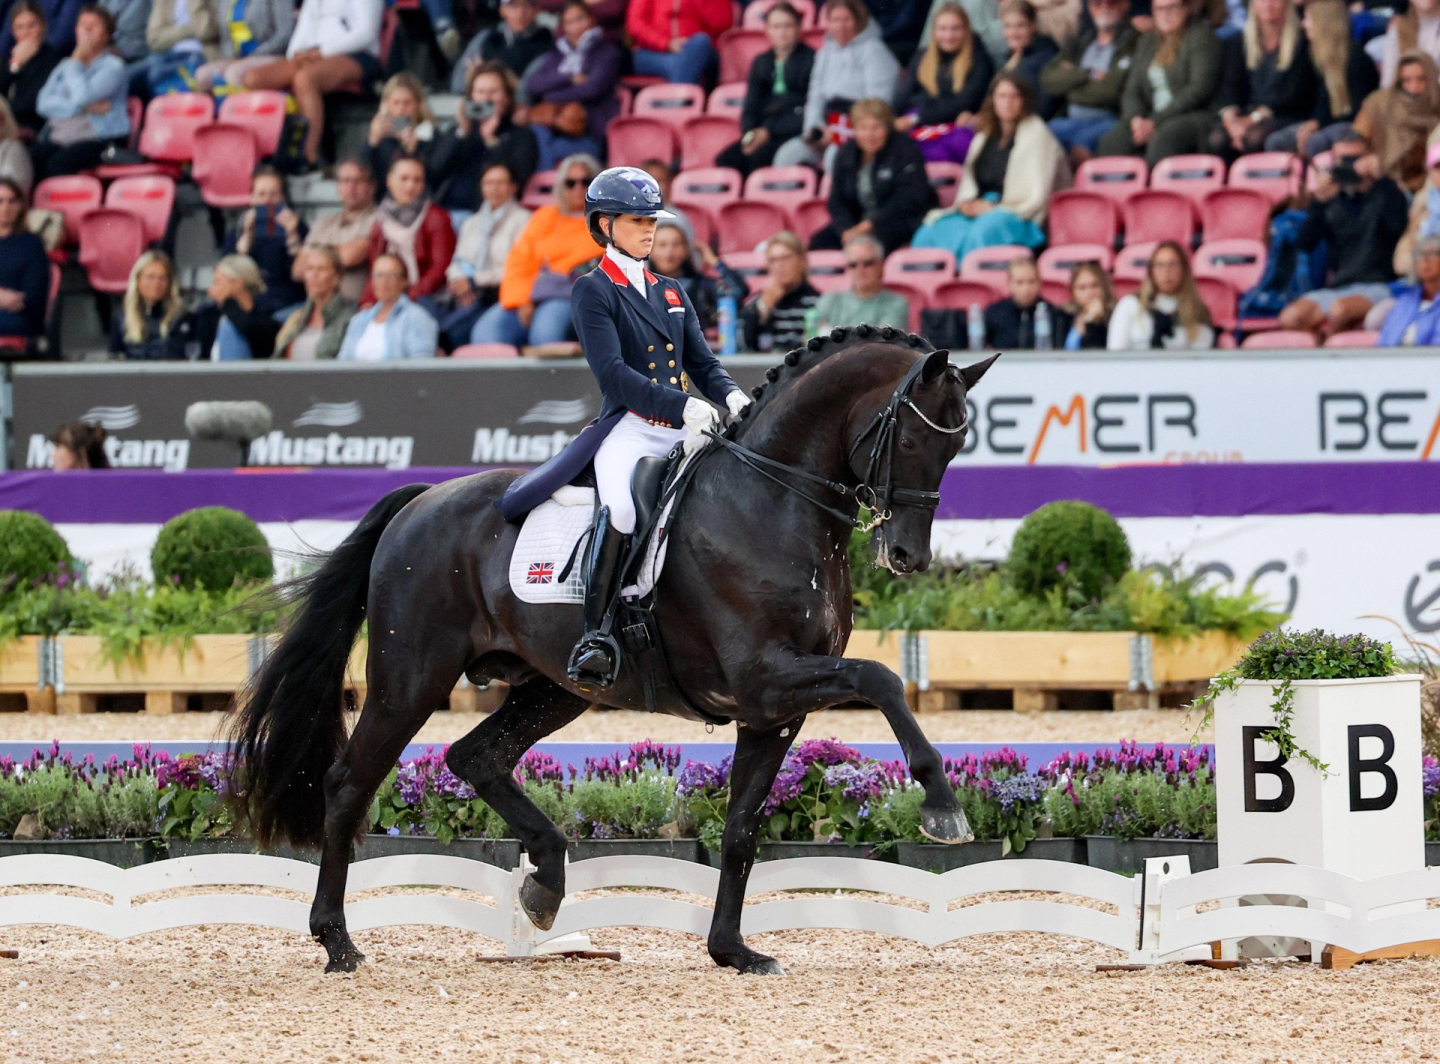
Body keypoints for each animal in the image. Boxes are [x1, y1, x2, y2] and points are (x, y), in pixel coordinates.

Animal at [230, 325, 999, 976]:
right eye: (911, 440)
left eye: (955, 449)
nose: (906, 556)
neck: (771, 500)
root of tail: (419, 503)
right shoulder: (766, 677)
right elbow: (883, 679)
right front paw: (942, 807)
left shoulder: (771, 710)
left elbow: (741, 829)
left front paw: (733, 952)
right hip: (411, 679)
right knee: (348, 783)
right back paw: (337, 941)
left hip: (556, 688)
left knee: (476, 756)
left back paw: (544, 884)